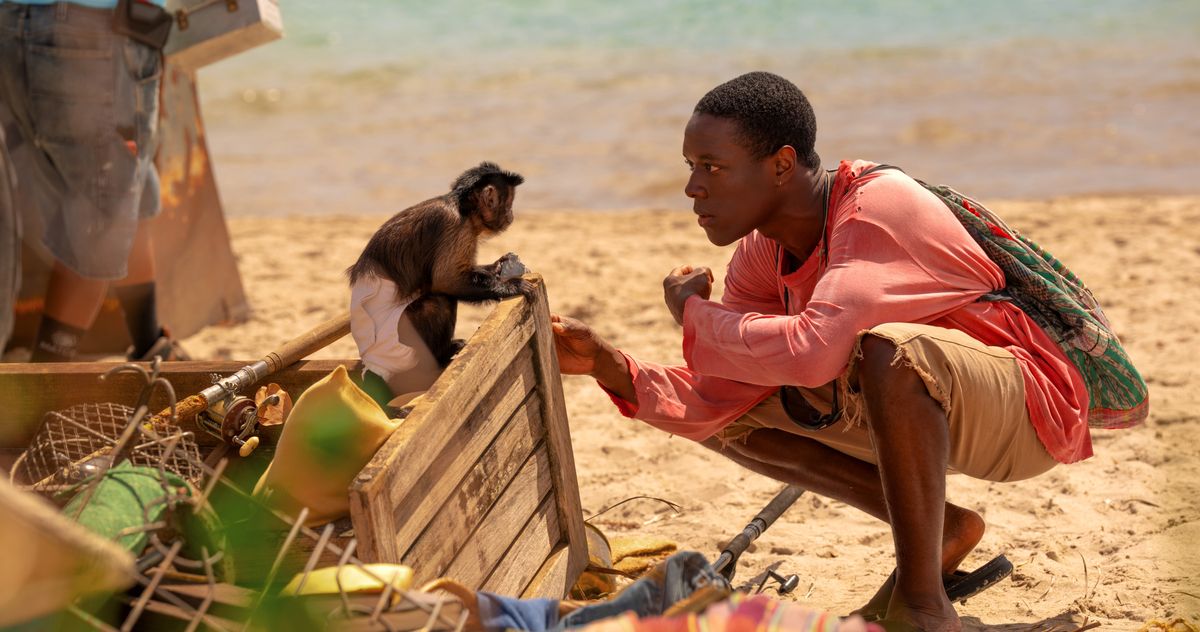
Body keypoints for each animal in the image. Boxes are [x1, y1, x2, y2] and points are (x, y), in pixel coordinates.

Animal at [347, 162, 532, 373]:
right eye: (508, 203)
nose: (512, 215)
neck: (463, 210)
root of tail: (371, 361)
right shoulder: (455, 226)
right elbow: (447, 281)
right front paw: (511, 286)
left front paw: (499, 267)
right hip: (400, 349)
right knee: (439, 300)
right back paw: (440, 356)